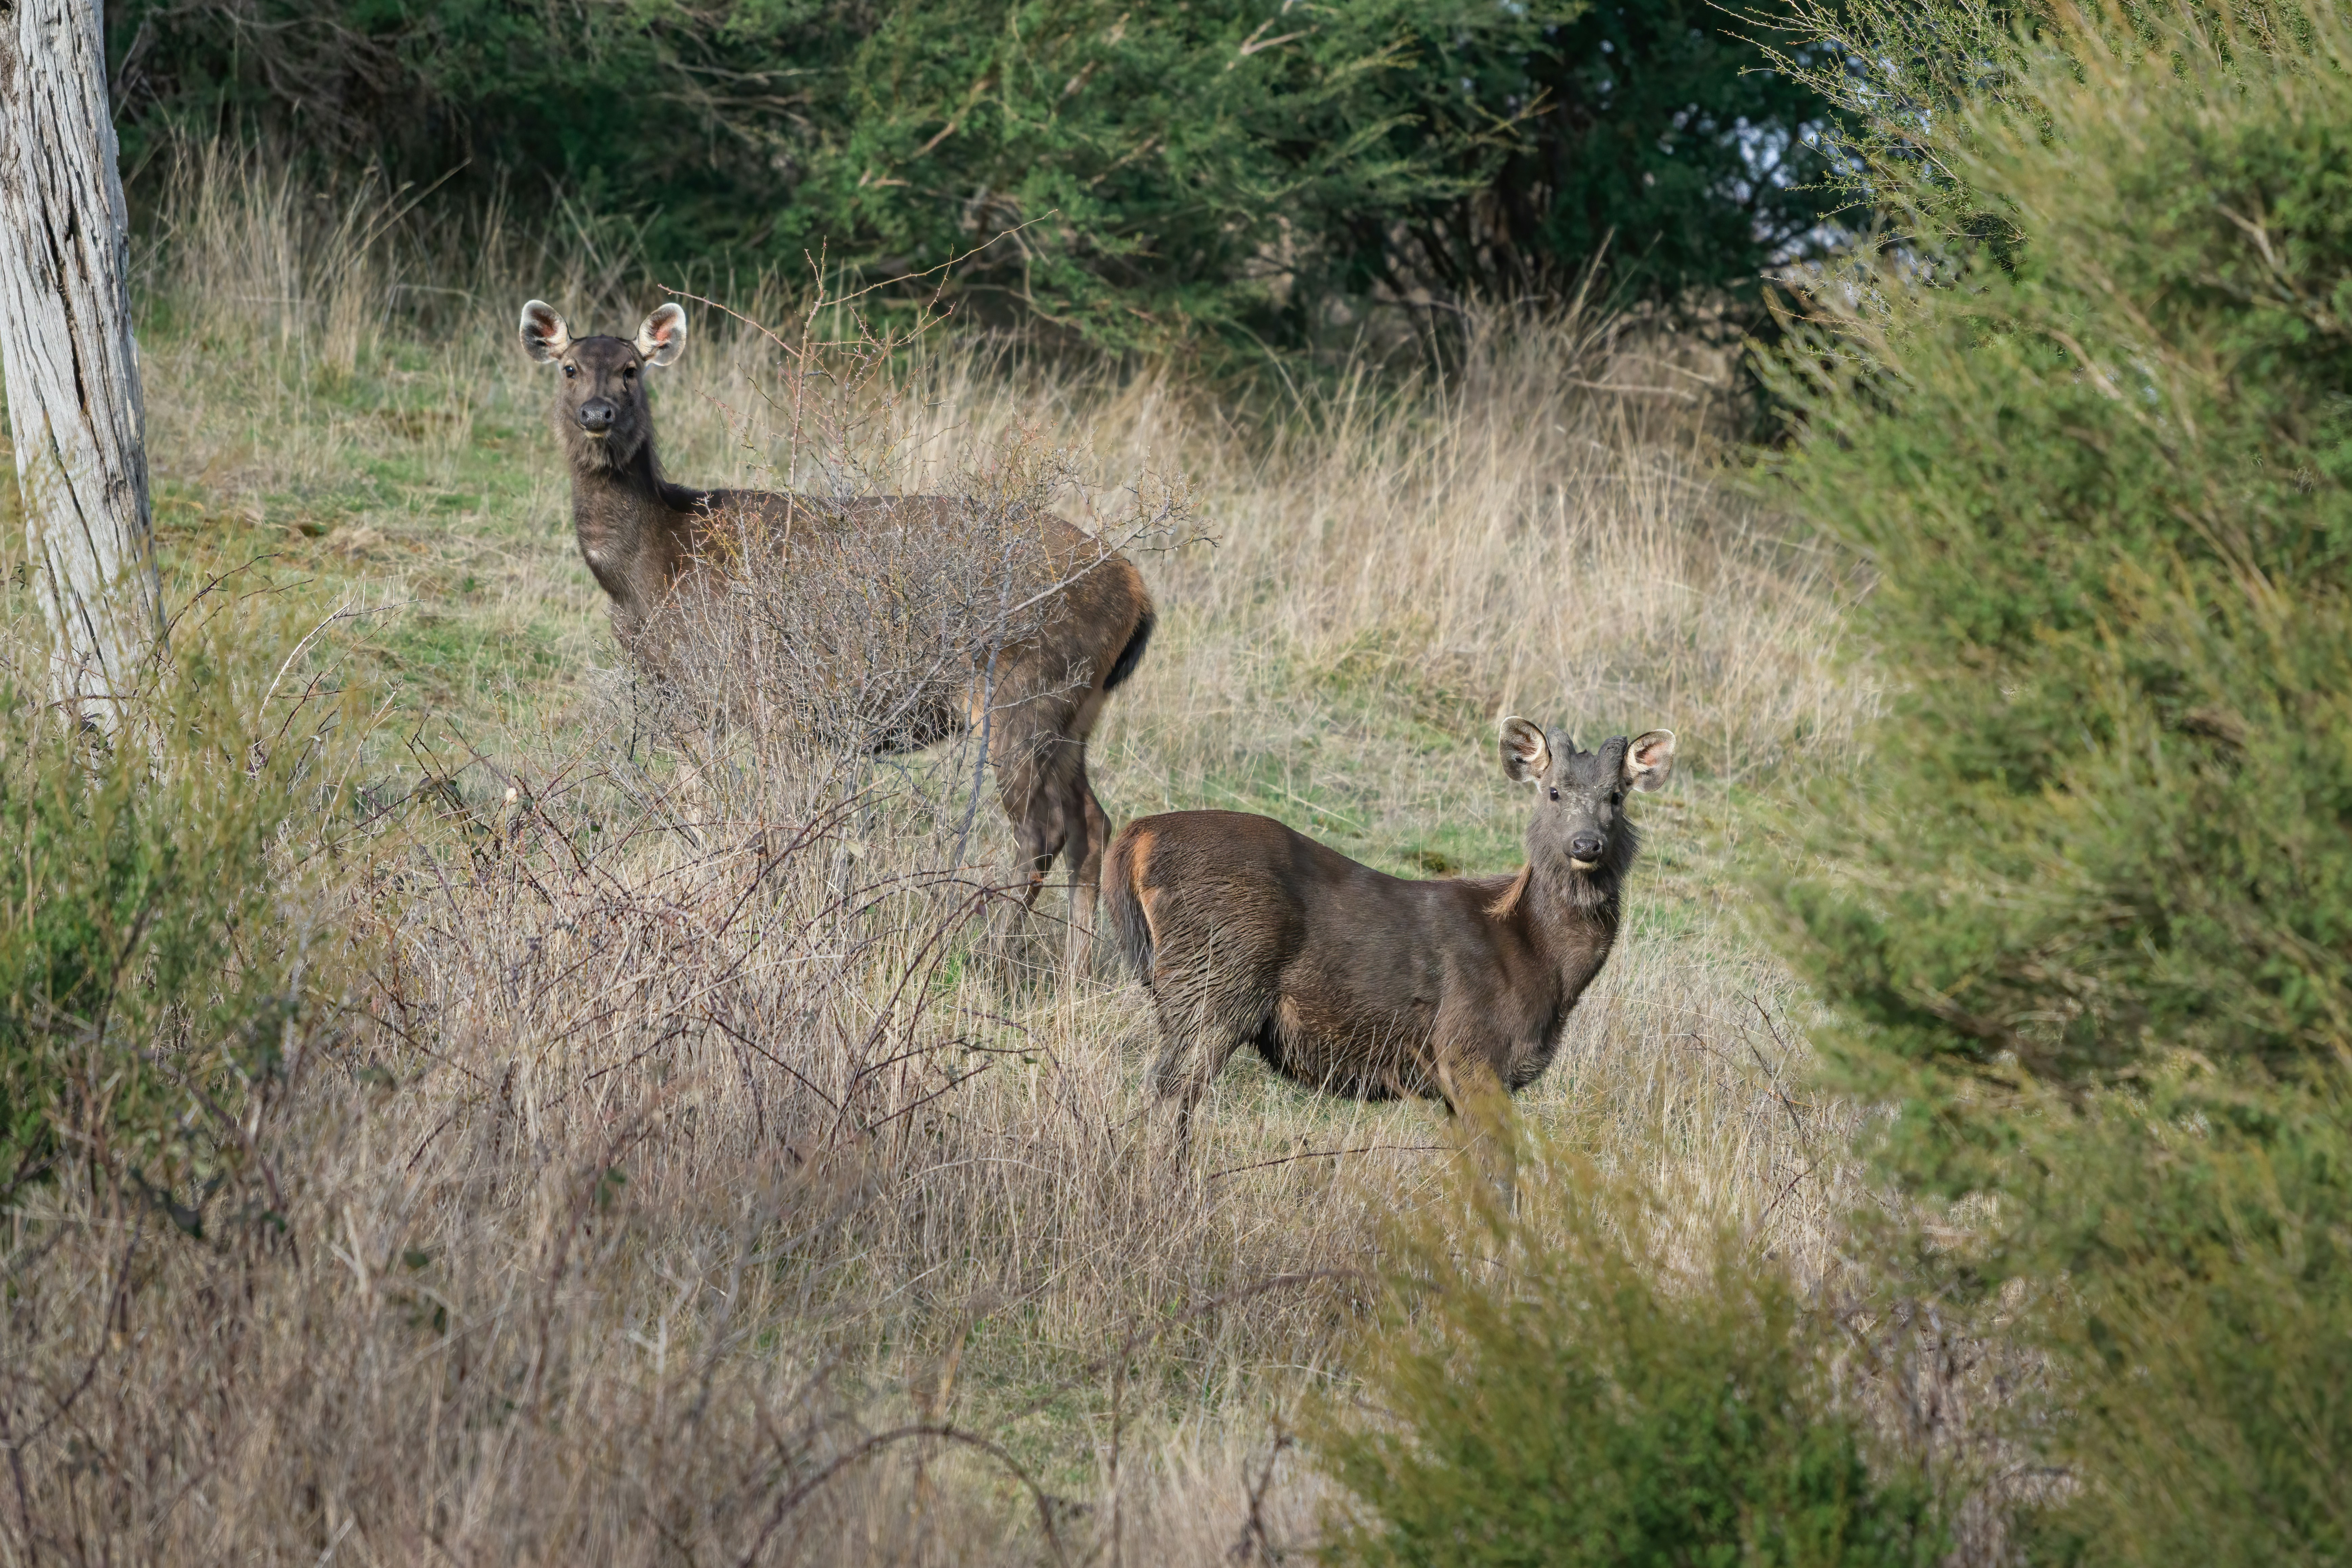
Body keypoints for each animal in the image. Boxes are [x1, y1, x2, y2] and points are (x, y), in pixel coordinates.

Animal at [518, 299, 1157, 975]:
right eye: (569, 368)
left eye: (631, 370)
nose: (597, 414)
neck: (650, 571)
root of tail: (1136, 591)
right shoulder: (687, 697)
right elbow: (698, 807)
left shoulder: (762, 690)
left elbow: (758, 814)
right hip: (1077, 710)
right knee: (1092, 825)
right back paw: (1076, 968)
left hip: (1022, 690)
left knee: (1042, 832)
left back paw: (988, 954)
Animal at [1104, 718, 1674, 1165]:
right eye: (1553, 791)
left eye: (1616, 796)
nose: (1586, 844)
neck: (1544, 968)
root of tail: (1135, 837)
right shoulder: (1471, 1050)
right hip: (1216, 980)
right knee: (1171, 1091)